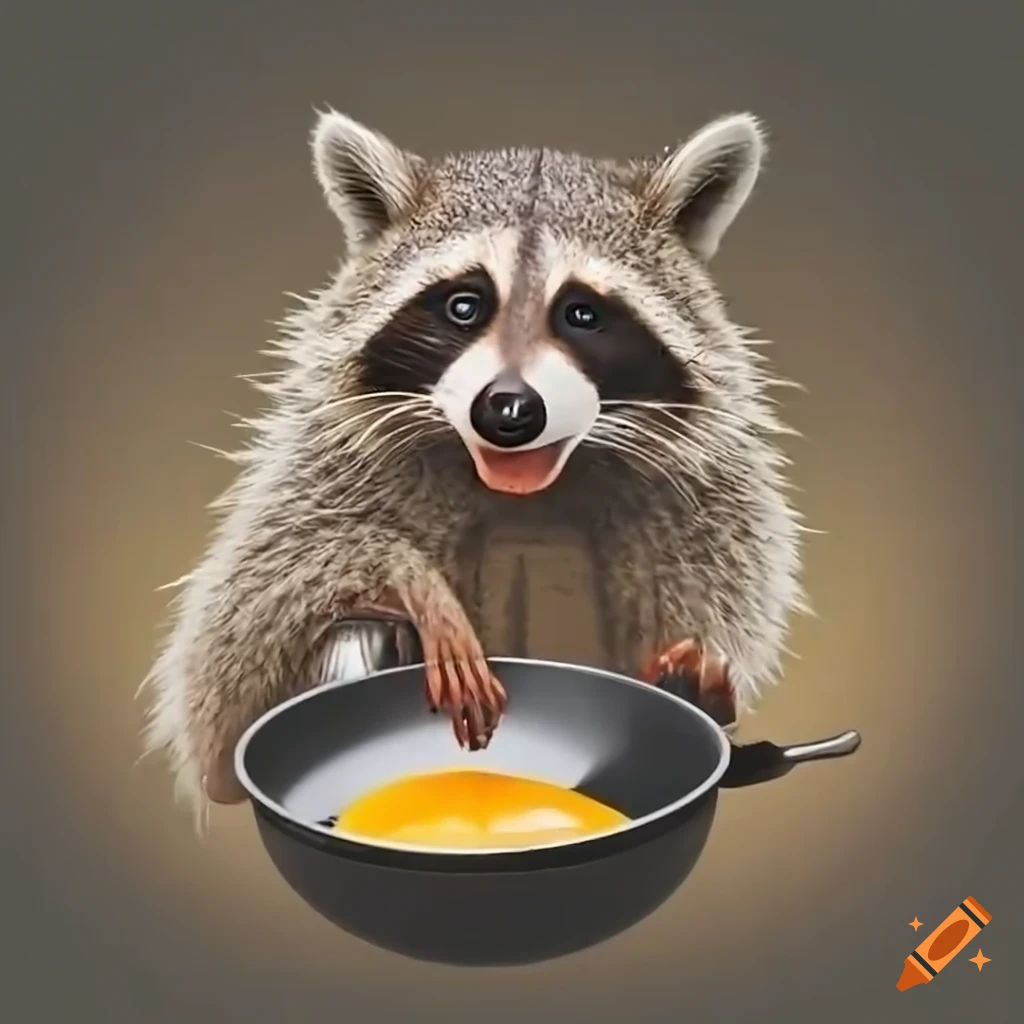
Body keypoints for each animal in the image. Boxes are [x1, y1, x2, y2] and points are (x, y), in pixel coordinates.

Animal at [142, 109, 805, 813]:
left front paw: (700, 690)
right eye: (464, 306)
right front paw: (415, 581)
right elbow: (230, 661)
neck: (530, 490)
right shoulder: (321, 465)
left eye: (582, 314)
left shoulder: (710, 510)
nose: (508, 410)